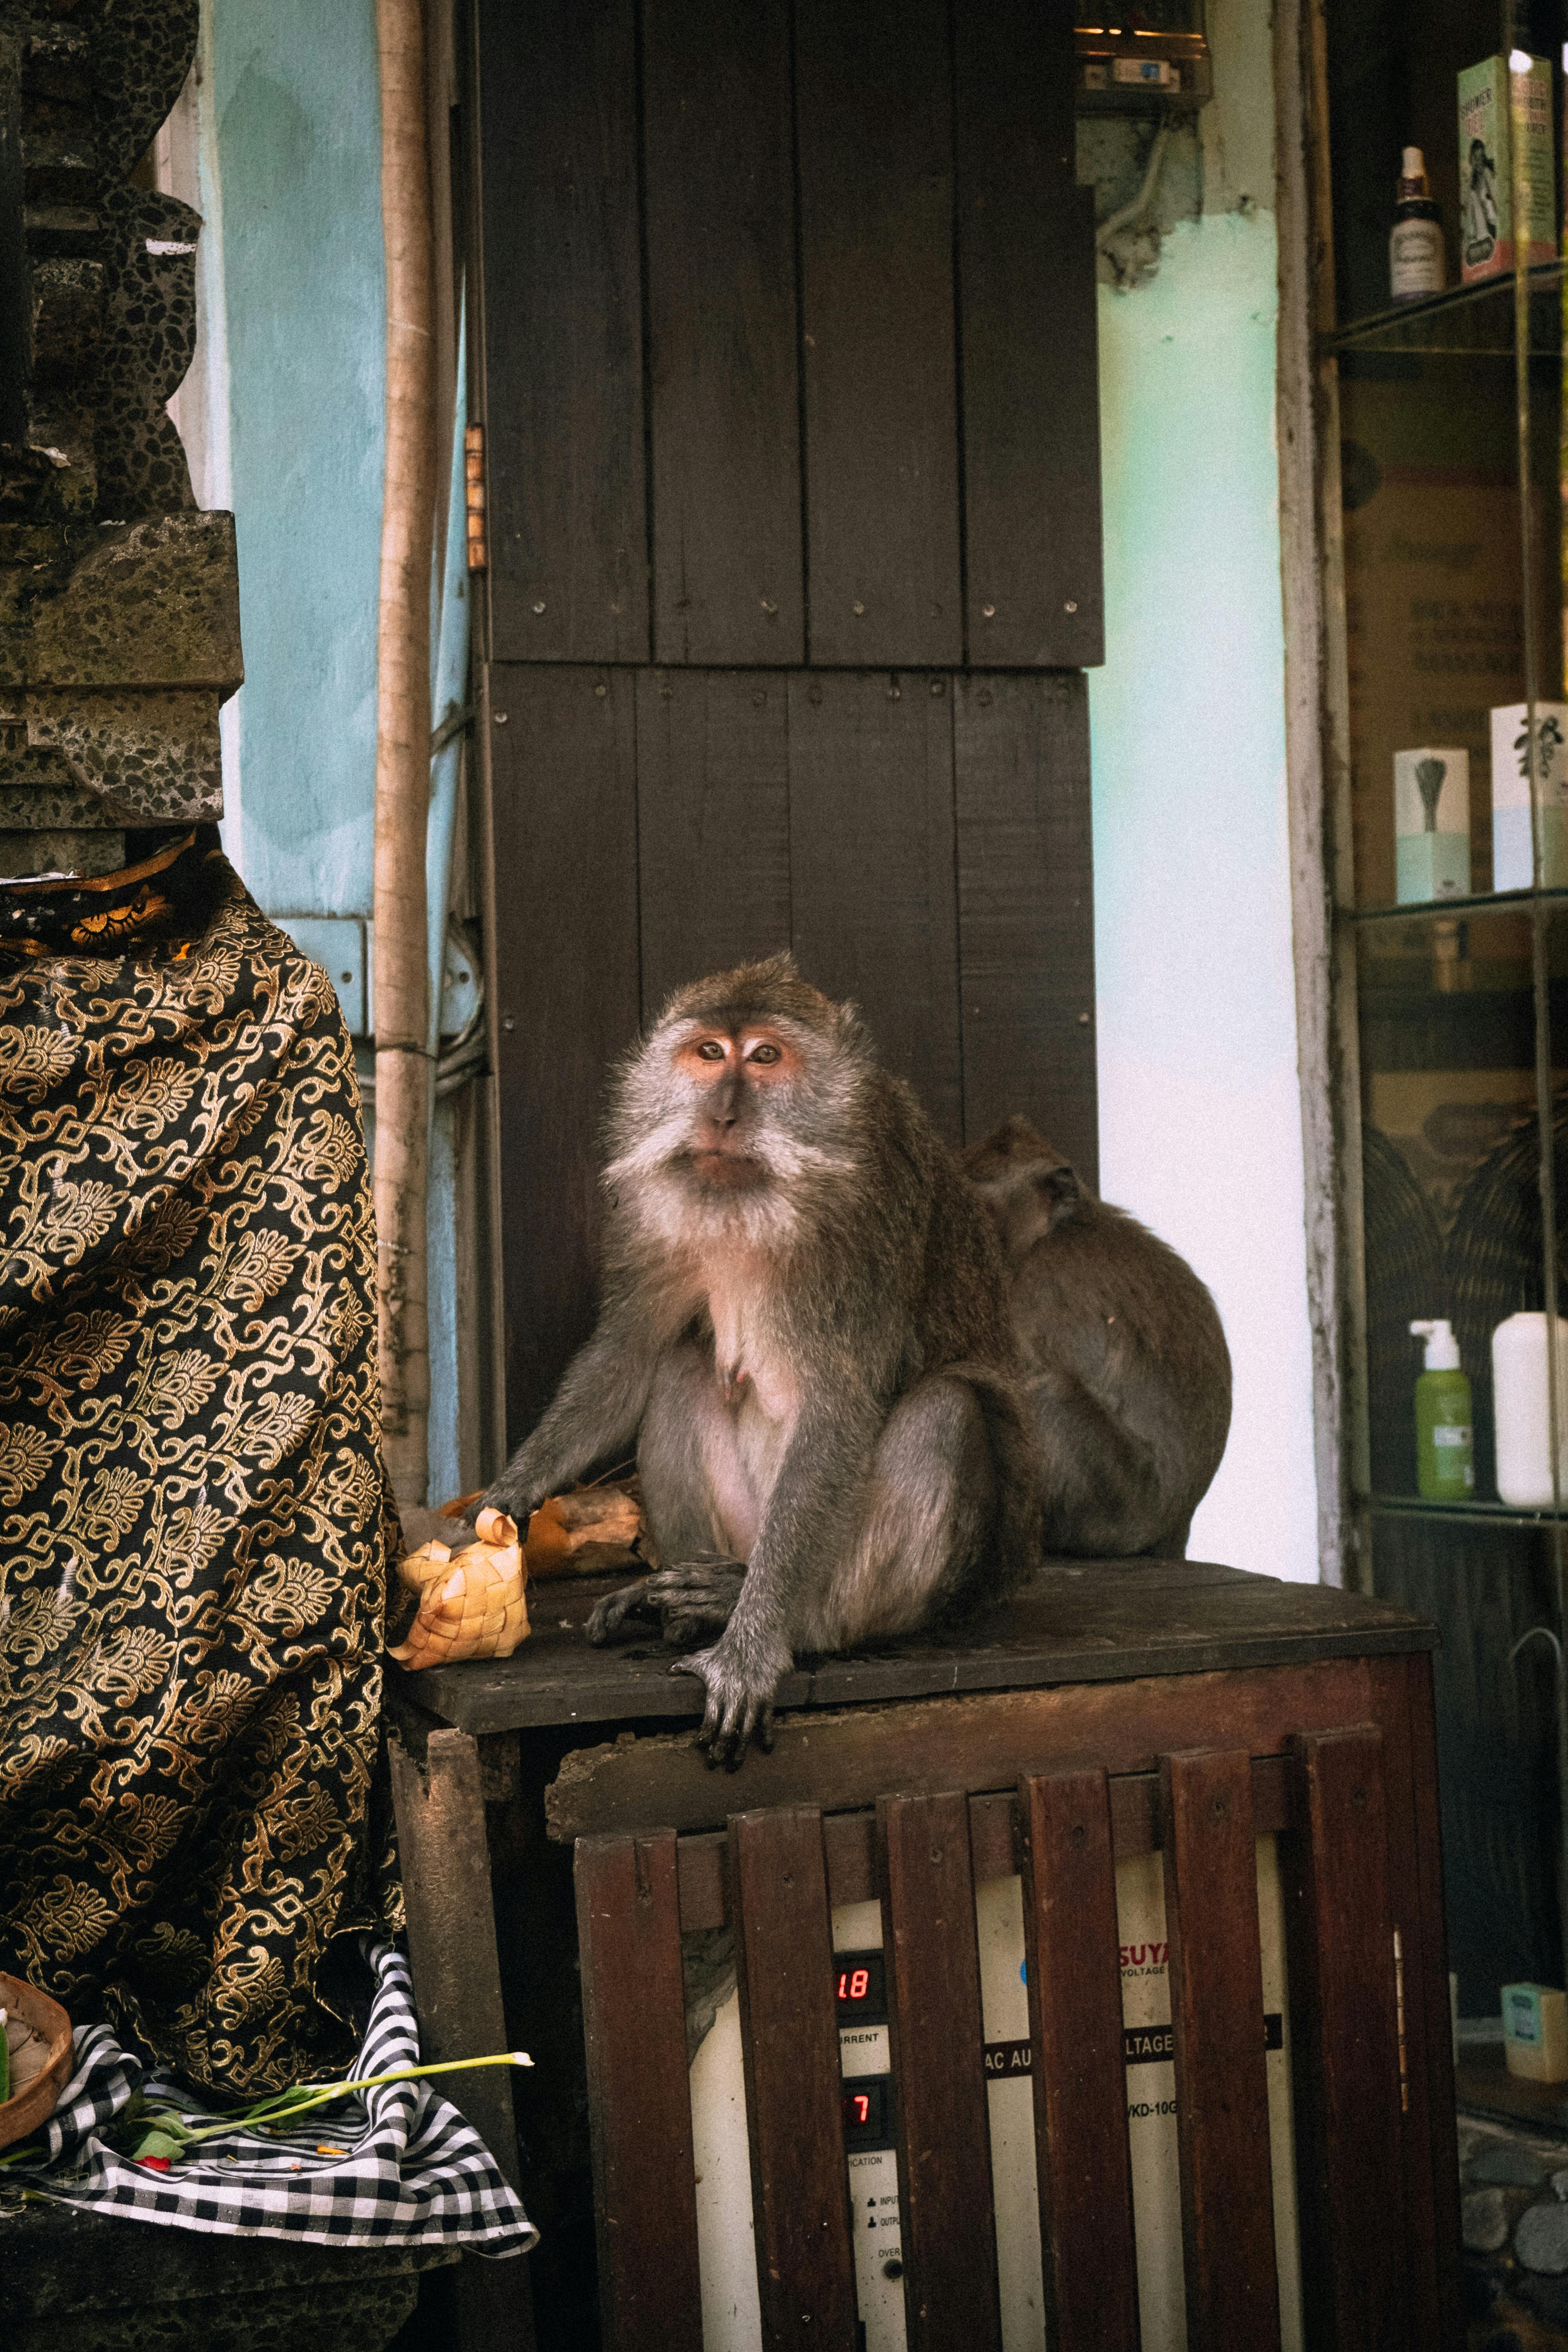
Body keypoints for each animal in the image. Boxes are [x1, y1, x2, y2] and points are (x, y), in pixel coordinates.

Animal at [476, 956, 1041, 1765]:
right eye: (710, 1053)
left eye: (767, 1057)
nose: (721, 1116)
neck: (757, 1194)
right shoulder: (656, 1218)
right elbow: (631, 1351)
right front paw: (512, 1494)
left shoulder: (862, 1230)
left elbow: (838, 1414)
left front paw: (750, 1653)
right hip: (745, 1524)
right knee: (682, 1367)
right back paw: (689, 1599)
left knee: (949, 1410)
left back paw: (778, 1619)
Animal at [960, 1115, 1230, 1558]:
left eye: (980, 1205)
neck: (1056, 1230)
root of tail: (1174, 1531)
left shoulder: (1039, 1287)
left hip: (1120, 1511)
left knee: (1049, 1395)